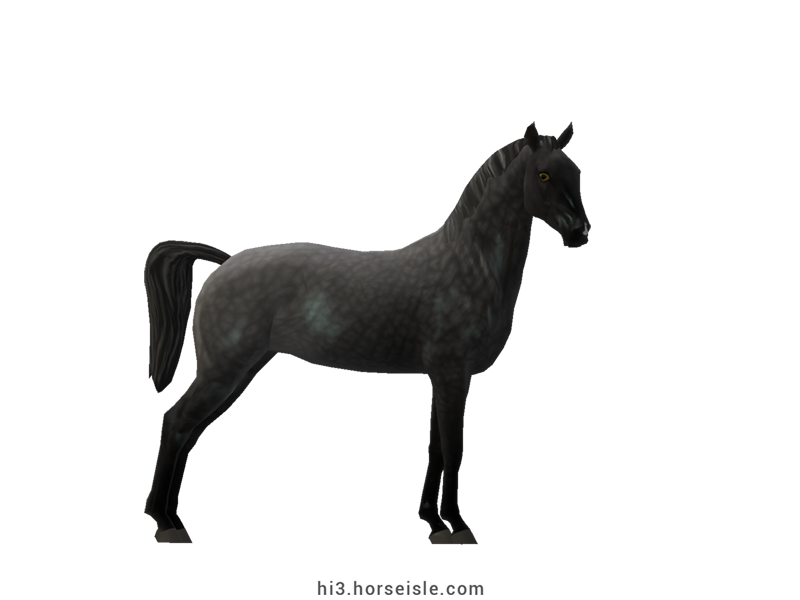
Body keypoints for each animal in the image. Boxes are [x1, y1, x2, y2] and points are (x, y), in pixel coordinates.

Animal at [144, 121, 590, 544]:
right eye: (544, 174)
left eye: (574, 171)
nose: (579, 232)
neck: (471, 263)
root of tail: (219, 266)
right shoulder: (452, 371)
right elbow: (454, 447)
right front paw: (459, 525)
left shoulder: (443, 374)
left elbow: (436, 449)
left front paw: (433, 521)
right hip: (221, 371)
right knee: (176, 422)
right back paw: (164, 523)